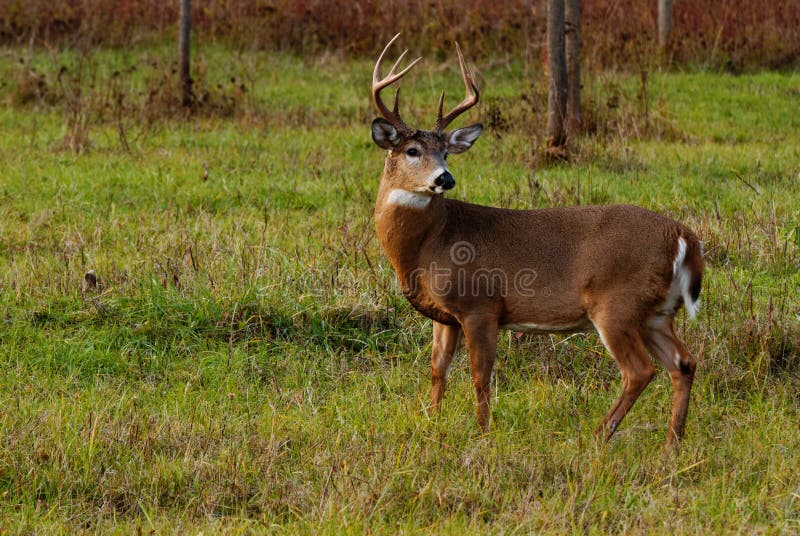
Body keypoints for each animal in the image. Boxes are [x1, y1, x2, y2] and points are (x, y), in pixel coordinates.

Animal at [370, 34, 704, 452]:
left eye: (445, 152)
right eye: (413, 151)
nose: (445, 178)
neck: (428, 245)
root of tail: (683, 236)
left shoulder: (481, 305)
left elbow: (480, 375)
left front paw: (484, 434)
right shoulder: (445, 315)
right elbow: (437, 369)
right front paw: (431, 422)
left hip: (617, 305)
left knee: (640, 370)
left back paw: (598, 435)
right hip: (656, 313)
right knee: (683, 362)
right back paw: (672, 443)